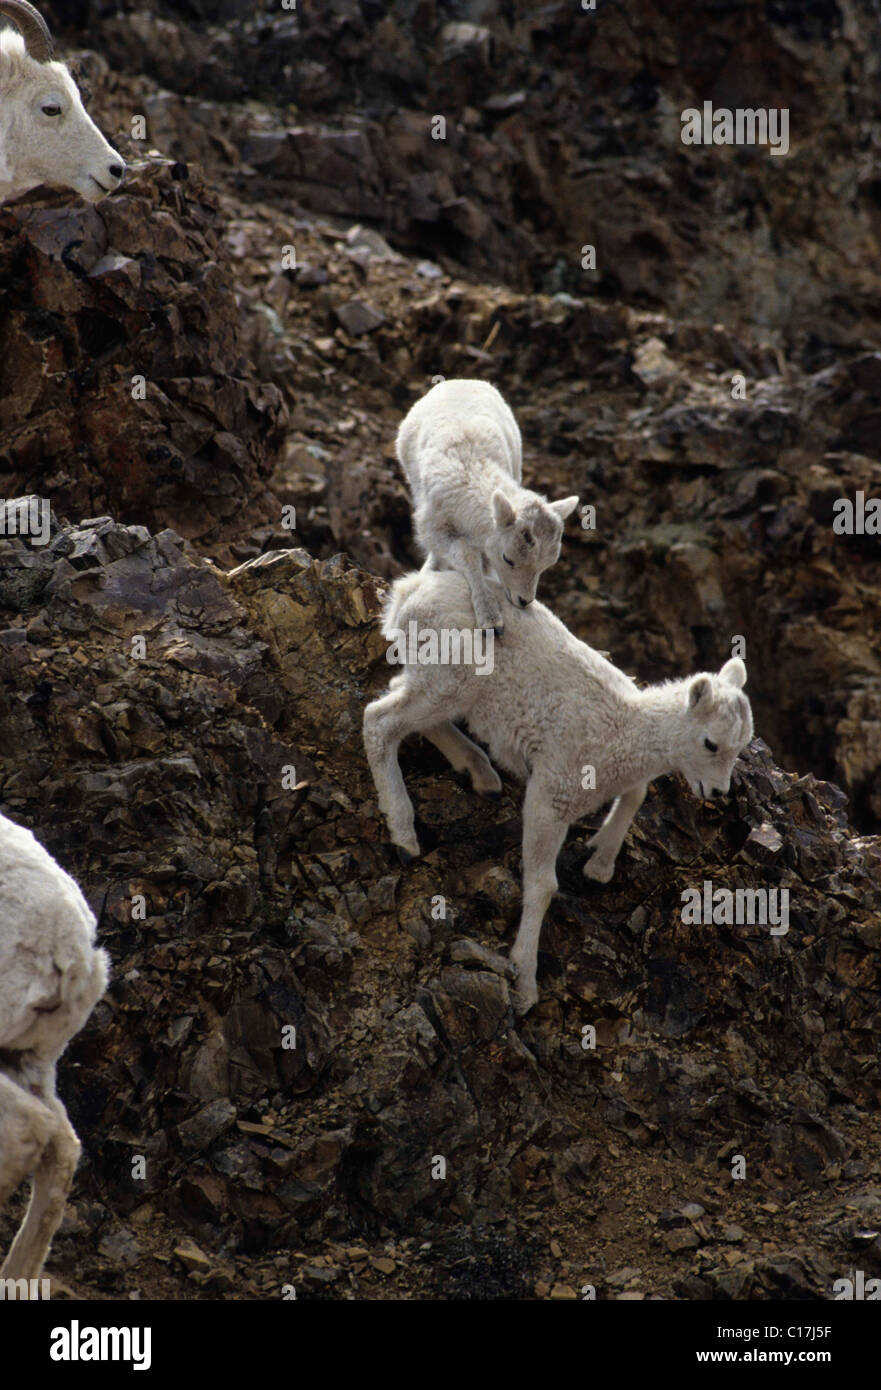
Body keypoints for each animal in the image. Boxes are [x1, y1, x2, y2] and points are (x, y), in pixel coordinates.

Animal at [363, 568, 754, 1013]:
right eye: (711, 744)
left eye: (741, 745)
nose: (718, 792)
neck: (624, 731)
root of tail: (409, 591)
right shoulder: (549, 798)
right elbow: (543, 885)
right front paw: (524, 986)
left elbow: (636, 795)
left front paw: (599, 863)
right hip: (446, 683)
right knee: (378, 721)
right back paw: (405, 835)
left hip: (442, 687)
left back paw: (481, 774)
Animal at [396, 379, 579, 635]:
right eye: (508, 559)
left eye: (546, 565)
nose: (524, 601)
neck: (470, 470)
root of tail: (459, 381)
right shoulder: (434, 529)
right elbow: (466, 555)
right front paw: (490, 618)